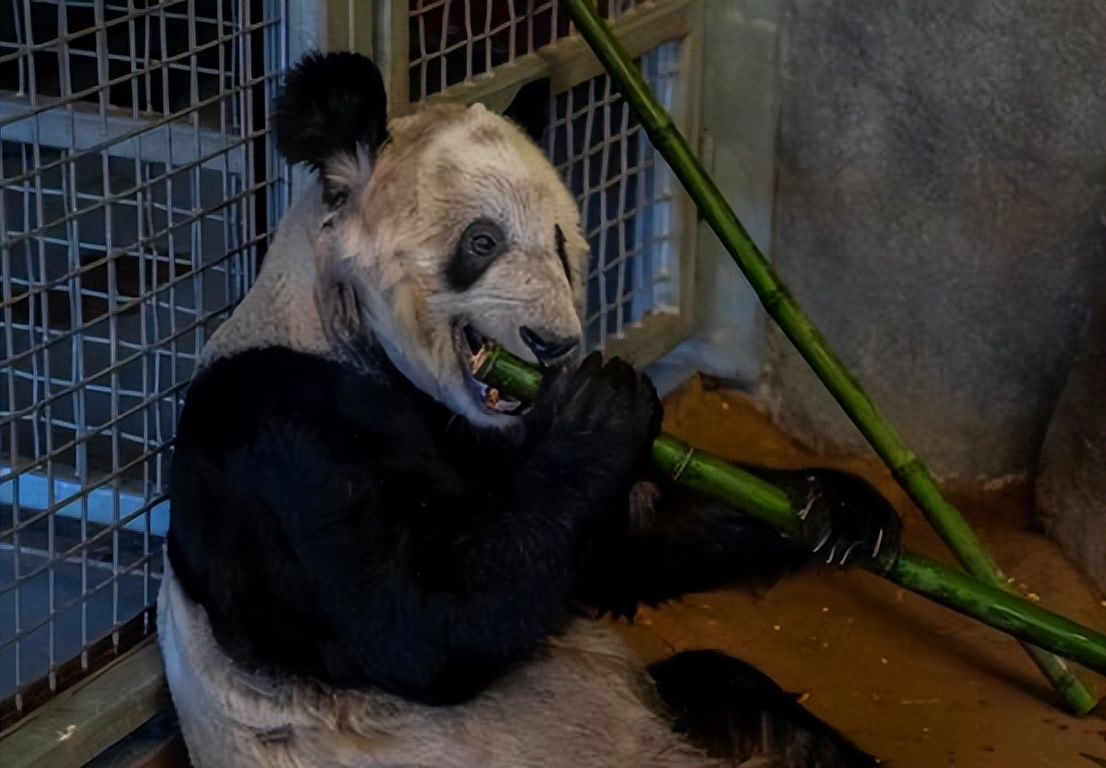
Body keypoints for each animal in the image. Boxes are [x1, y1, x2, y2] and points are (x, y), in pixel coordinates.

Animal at [158, 51, 902, 768]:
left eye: (562, 244)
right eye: (482, 242)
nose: (554, 345)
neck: (344, 334)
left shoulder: (495, 437)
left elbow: (613, 543)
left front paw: (839, 509)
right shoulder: (279, 434)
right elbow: (415, 624)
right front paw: (604, 409)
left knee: (737, 692)